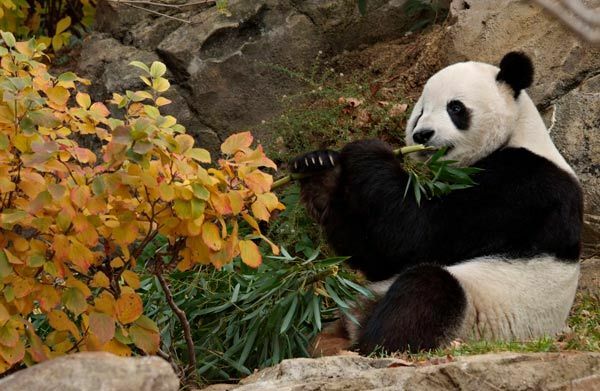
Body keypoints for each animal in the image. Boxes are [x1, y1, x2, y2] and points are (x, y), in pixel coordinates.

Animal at [290, 51, 580, 356]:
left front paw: (368, 150)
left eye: (455, 107)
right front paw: (319, 168)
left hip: (476, 313)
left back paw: (371, 346)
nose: (422, 135)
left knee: (430, 289)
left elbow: (418, 235)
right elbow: (377, 255)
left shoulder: (522, 186)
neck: (519, 132)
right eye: (420, 112)